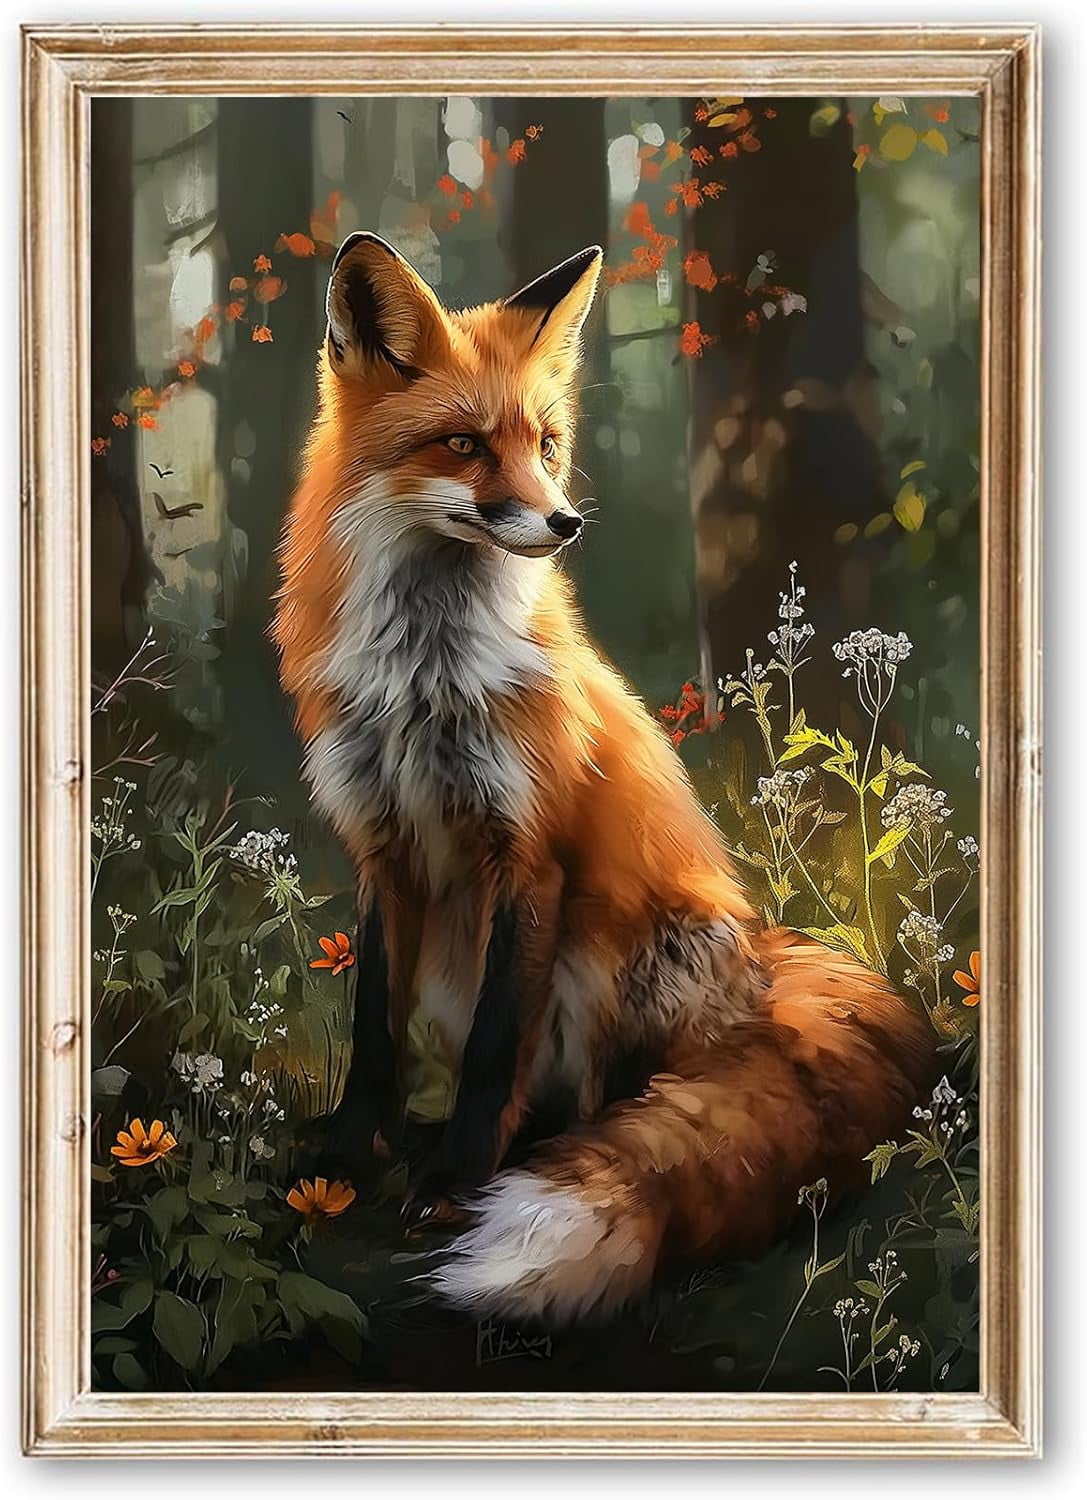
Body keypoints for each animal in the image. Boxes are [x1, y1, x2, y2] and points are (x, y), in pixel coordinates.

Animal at [273, 231, 934, 1325]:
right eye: (464, 445)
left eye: (544, 443)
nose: (565, 523)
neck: (423, 676)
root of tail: (765, 951)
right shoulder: (383, 849)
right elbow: (371, 1028)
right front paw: (348, 1155)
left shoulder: (528, 856)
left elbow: (495, 1047)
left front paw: (455, 1182)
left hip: (622, 947)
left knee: (599, 1095)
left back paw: (555, 1144)